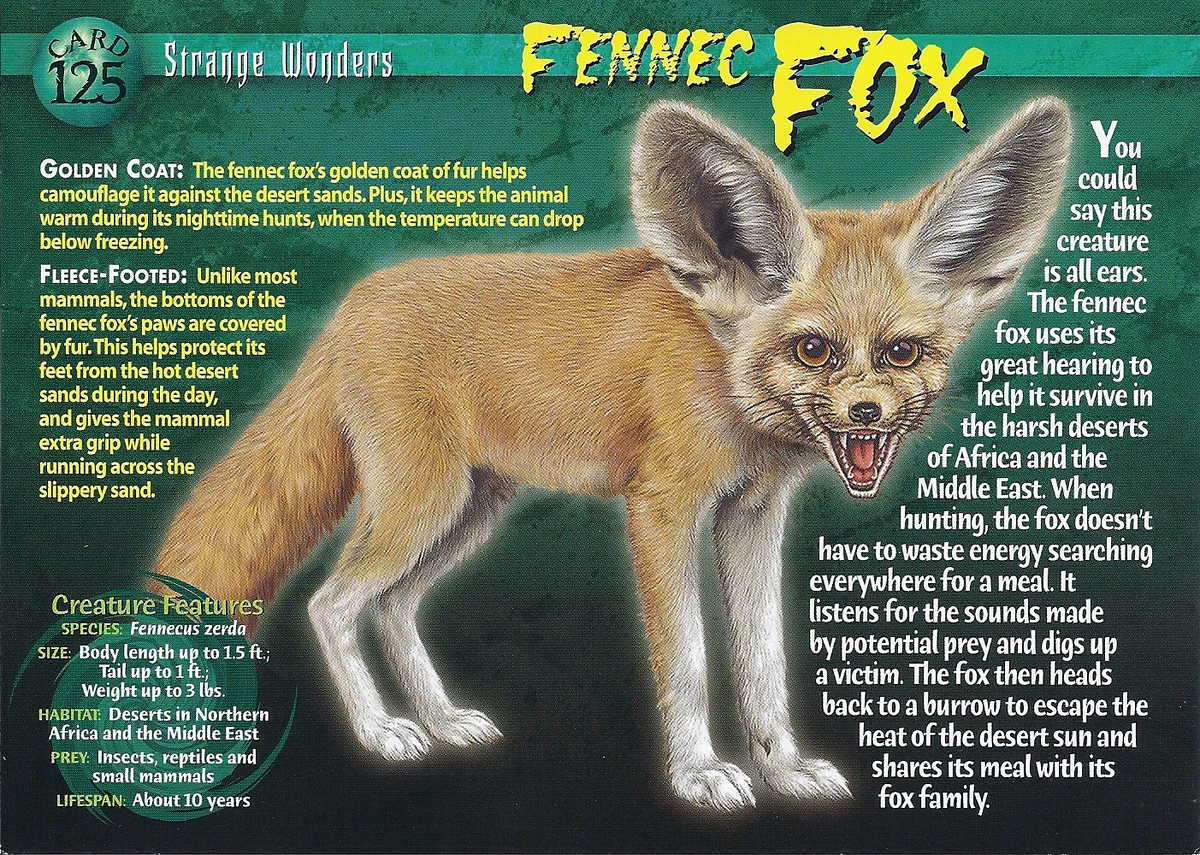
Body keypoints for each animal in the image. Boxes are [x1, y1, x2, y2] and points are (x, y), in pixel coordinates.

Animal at [154, 98, 1071, 810]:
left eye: (901, 353)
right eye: (813, 350)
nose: (867, 414)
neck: (720, 375)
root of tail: (356, 300)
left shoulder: (752, 513)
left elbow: (762, 659)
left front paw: (782, 769)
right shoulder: (661, 508)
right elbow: (690, 660)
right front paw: (700, 774)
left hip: (467, 512)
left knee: (392, 606)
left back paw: (443, 720)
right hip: (424, 502)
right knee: (330, 605)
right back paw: (385, 730)